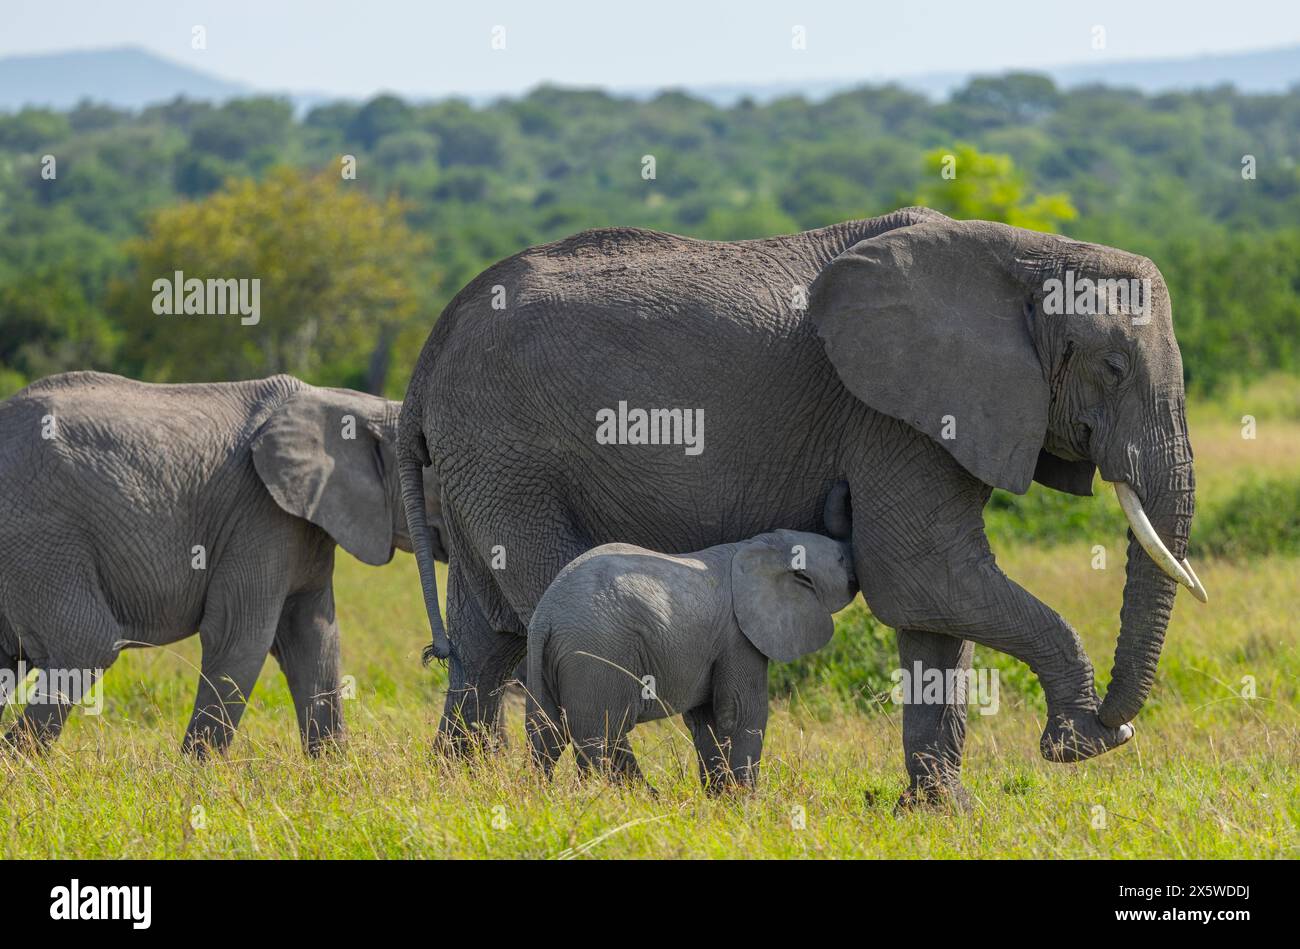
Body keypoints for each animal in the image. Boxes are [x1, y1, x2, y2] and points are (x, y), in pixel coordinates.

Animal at [0, 371, 443, 755]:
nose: (432, 653)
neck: (349, 404)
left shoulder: (304, 525)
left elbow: (315, 637)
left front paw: (332, 774)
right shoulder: (259, 515)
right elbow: (240, 636)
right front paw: (194, 780)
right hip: (40, 535)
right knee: (85, 644)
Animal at [526, 529, 857, 790]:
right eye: (841, 559)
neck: (765, 544)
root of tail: (546, 616)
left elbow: (706, 718)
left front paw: (721, 800)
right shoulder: (737, 635)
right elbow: (740, 712)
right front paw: (744, 805)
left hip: (548, 660)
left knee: (547, 734)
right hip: (598, 654)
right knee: (602, 734)